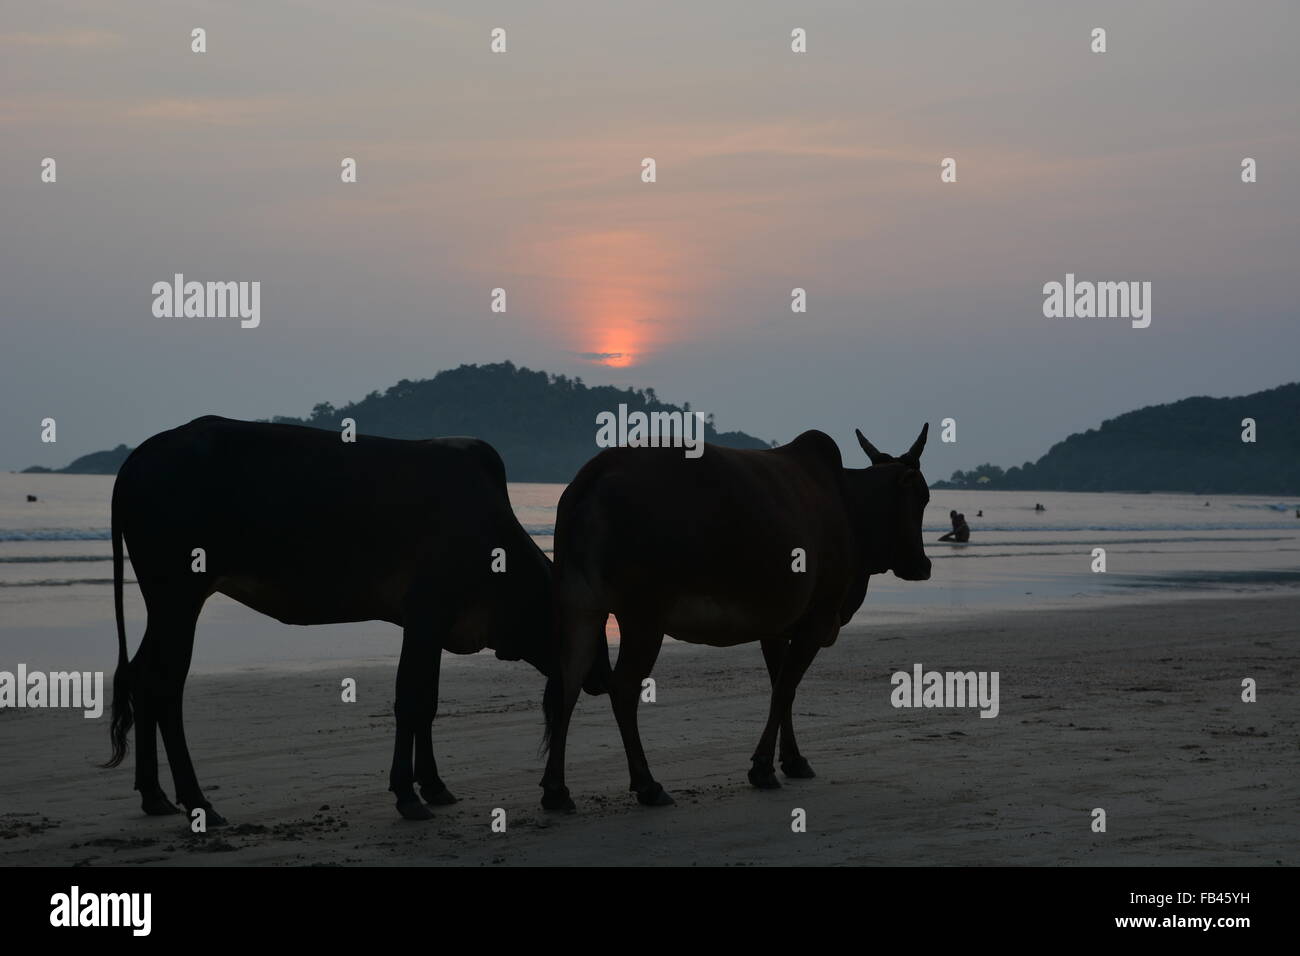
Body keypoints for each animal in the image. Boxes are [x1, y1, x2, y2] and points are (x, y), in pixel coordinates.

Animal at [104, 416, 556, 822]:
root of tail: (137, 458)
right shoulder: (426, 615)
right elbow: (411, 700)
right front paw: (407, 795)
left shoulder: (432, 627)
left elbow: (427, 702)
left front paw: (433, 785)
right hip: (178, 597)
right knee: (165, 685)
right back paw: (198, 802)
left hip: (166, 605)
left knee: (142, 676)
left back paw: (154, 795)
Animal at [539, 424, 932, 811]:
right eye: (922, 499)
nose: (923, 565)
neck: (851, 507)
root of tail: (592, 477)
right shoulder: (816, 620)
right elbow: (785, 690)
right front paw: (763, 768)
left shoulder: (776, 627)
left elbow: (781, 689)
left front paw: (792, 760)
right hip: (643, 618)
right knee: (622, 689)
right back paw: (648, 785)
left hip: (581, 607)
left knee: (567, 684)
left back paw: (557, 790)